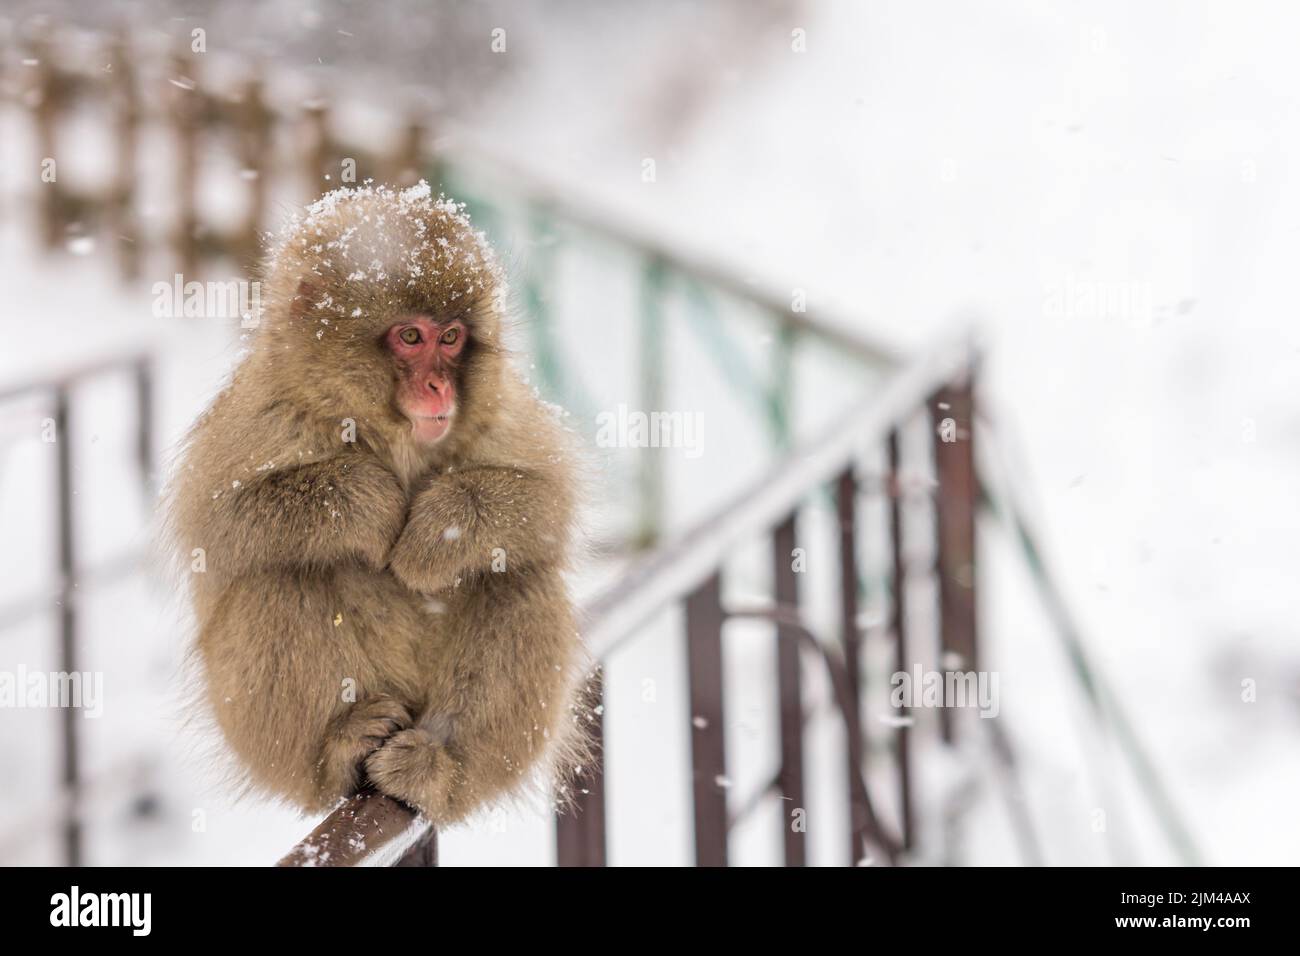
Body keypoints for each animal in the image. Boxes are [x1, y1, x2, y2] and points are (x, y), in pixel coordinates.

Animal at [165, 182, 588, 827]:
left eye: (451, 337)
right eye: (409, 336)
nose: (440, 389)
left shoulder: (500, 408)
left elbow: (549, 502)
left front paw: (437, 532)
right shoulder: (265, 409)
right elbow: (213, 527)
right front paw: (370, 501)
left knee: (516, 574)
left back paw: (440, 768)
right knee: (275, 577)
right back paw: (337, 749)